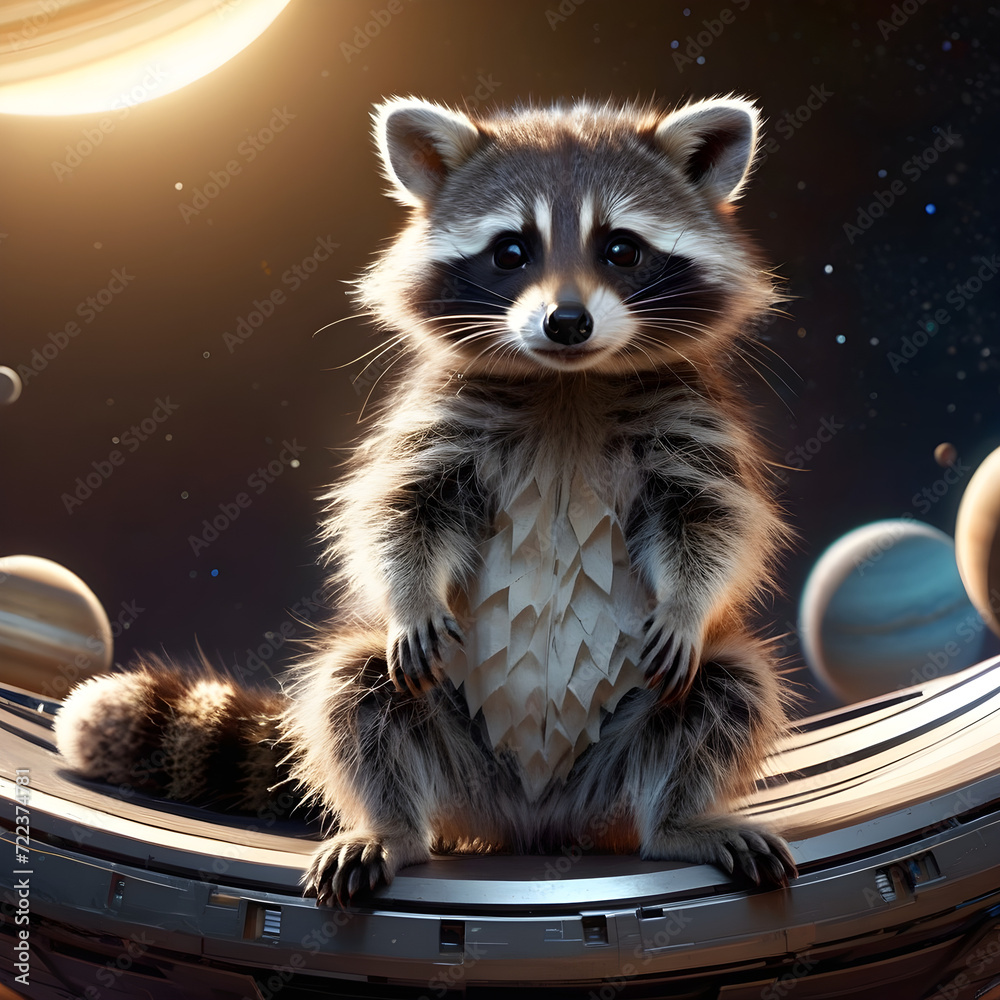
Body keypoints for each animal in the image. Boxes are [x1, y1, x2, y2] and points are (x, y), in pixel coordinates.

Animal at [55, 95, 797, 906]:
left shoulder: (690, 417)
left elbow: (712, 519)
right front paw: (408, 593)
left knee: (731, 690)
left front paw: (690, 603)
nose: (567, 323)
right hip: (446, 744)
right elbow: (398, 512)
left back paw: (676, 822)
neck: (566, 384)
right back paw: (394, 829)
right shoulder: (439, 417)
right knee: (356, 692)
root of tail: (534, 825)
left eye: (621, 249)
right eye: (512, 251)